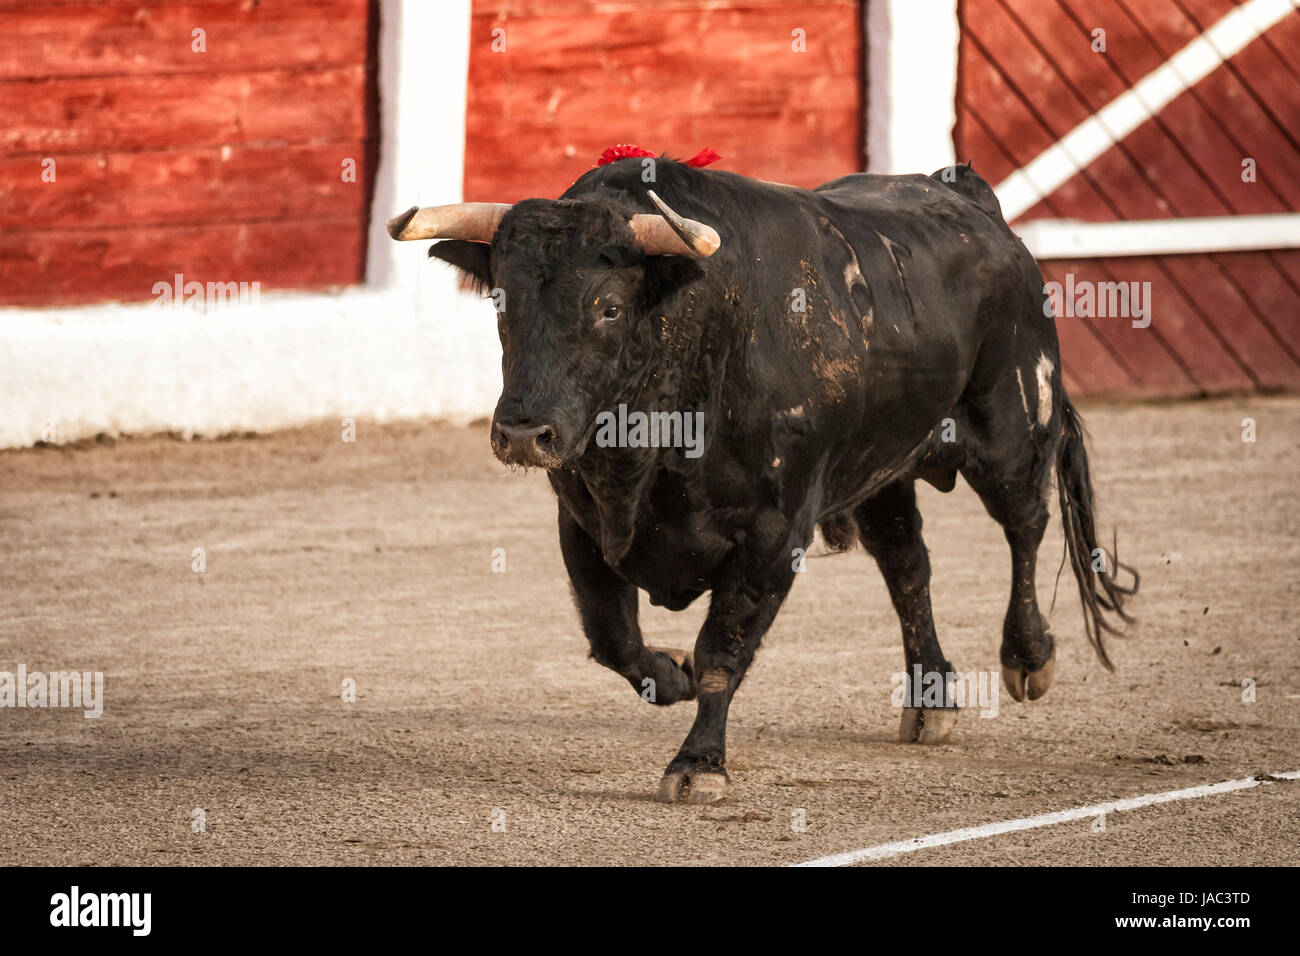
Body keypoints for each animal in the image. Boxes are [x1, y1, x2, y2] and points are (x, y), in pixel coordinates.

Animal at [386, 156, 1139, 804]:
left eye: (608, 307)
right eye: (500, 302)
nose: (522, 433)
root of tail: (971, 201)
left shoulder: (773, 535)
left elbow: (724, 648)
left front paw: (698, 764)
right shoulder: (584, 520)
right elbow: (613, 637)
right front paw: (672, 675)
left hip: (1014, 423)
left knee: (1025, 525)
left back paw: (1028, 657)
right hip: (882, 471)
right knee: (908, 565)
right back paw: (931, 699)